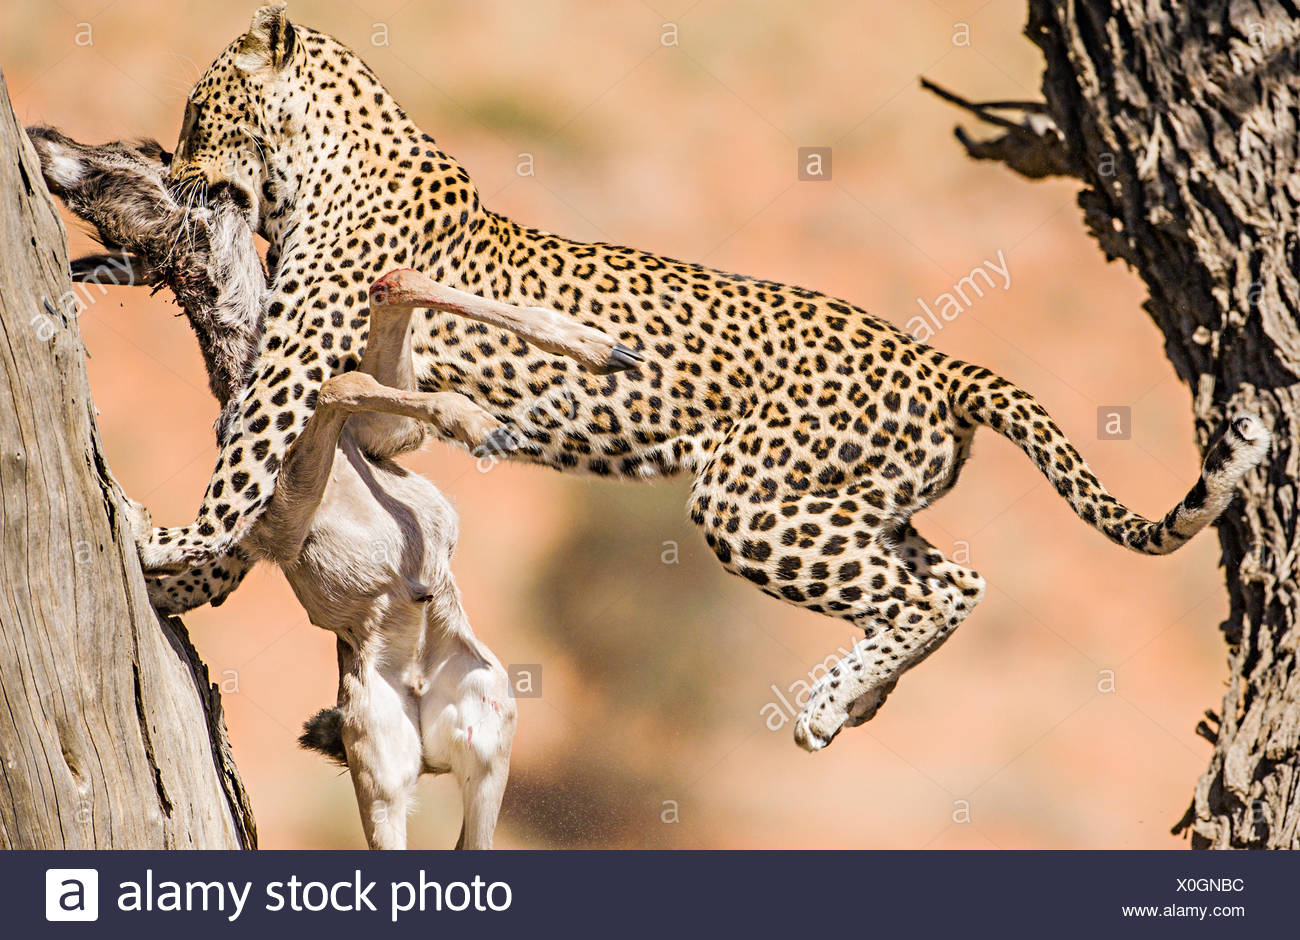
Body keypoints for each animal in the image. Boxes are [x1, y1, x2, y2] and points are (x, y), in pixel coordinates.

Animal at [147, 3, 1270, 751]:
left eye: (201, 106)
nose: (171, 160)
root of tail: (936, 353)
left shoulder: (294, 367)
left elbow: (238, 475)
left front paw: (168, 551)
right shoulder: (377, 408)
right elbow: (331, 438)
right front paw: (187, 567)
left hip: (748, 500)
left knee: (919, 594)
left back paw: (828, 699)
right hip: (859, 503)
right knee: (956, 578)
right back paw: (847, 698)